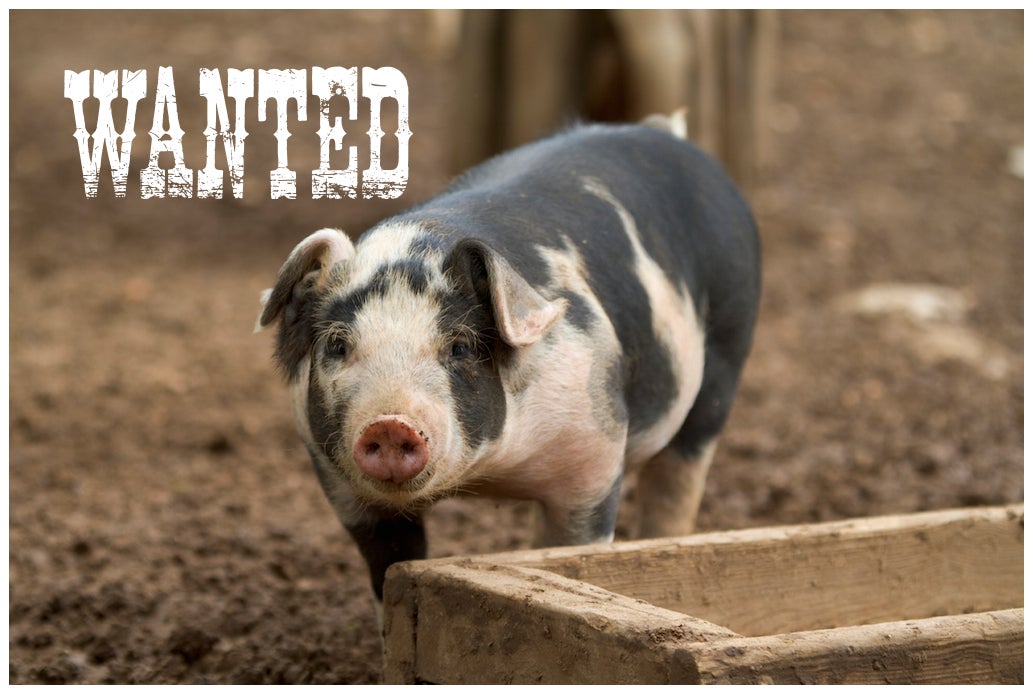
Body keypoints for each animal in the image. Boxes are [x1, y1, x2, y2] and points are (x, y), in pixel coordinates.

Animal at [256, 114, 761, 609]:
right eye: (338, 345)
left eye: (459, 347)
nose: (390, 424)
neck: (490, 474)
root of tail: (662, 128)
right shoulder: (341, 486)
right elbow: (389, 568)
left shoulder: (595, 456)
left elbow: (575, 549)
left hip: (727, 350)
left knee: (681, 472)